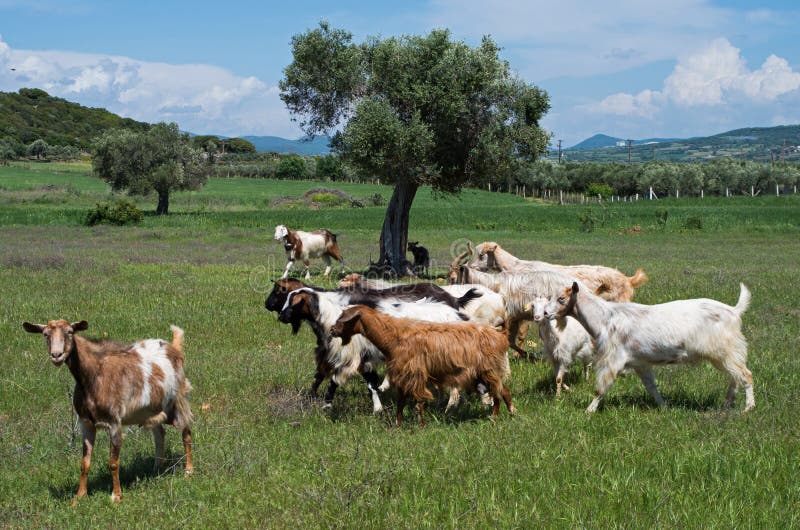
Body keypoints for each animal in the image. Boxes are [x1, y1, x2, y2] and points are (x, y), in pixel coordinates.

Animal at [22, 320, 193, 504]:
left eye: (69, 332)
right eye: (45, 334)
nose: (56, 355)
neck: (94, 376)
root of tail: (174, 347)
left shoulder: (114, 422)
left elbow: (113, 463)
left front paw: (116, 496)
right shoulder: (86, 423)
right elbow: (84, 463)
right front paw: (79, 496)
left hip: (177, 401)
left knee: (186, 430)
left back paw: (188, 471)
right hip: (151, 411)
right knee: (160, 433)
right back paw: (156, 469)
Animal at [330, 305, 515, 426]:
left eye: (344, 319)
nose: (332, 330)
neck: (393, 337)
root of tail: (500, 335)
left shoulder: (414, 373)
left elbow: (418, 401)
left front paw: (421, 425)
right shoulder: (403, 375)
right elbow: (401, 402)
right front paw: (397, 425)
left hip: (488, 370)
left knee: (499, 392)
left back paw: (496, 418)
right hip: (484, 372)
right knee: (503, 390)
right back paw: (509, 414)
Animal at [547, 281, 754, 412]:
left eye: (561, 299)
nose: (546, 313)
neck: (605, 318)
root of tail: (734, 311)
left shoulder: (613, 358)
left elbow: (601, 388)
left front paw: (588, 411)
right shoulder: (640, 363)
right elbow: (651, 386)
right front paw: (664, 407)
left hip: (725, 350)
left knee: (745, 374)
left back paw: (748, 408)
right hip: (723, 355)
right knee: (735, 377)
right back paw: (728, 404)